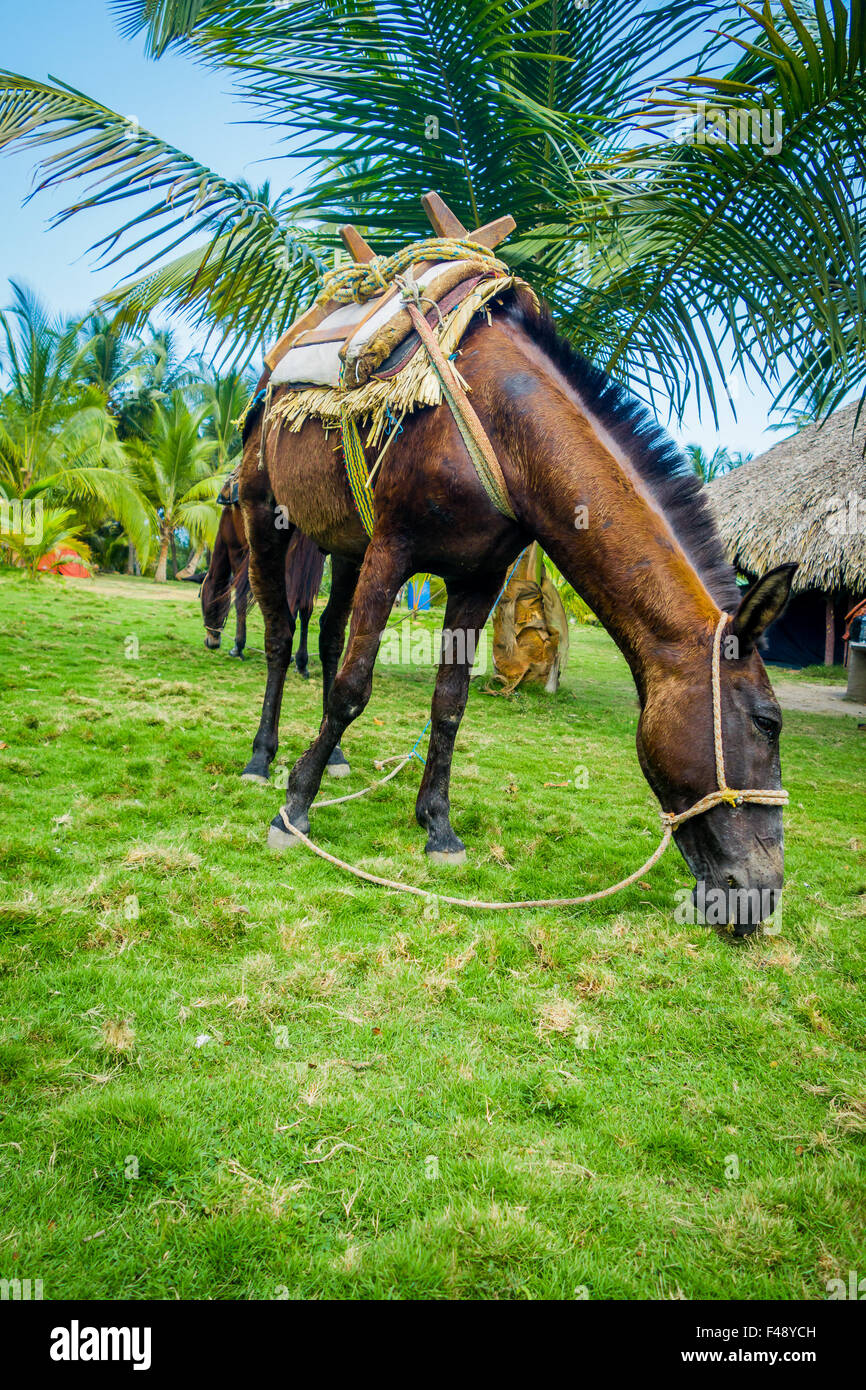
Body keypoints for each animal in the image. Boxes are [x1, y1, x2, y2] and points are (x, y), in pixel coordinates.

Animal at [238, 281, 795, 933]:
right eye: (767, 724)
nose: (764, 895)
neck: (506, 426)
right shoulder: (391, 551)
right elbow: (354, 689)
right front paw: (294, 808)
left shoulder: (478, 579)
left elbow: (449, 704)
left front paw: (438, 828)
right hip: (264, 512)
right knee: (280, 637)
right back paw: (263, 759)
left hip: (343, 541)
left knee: (327, 633)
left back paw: (335, 760)